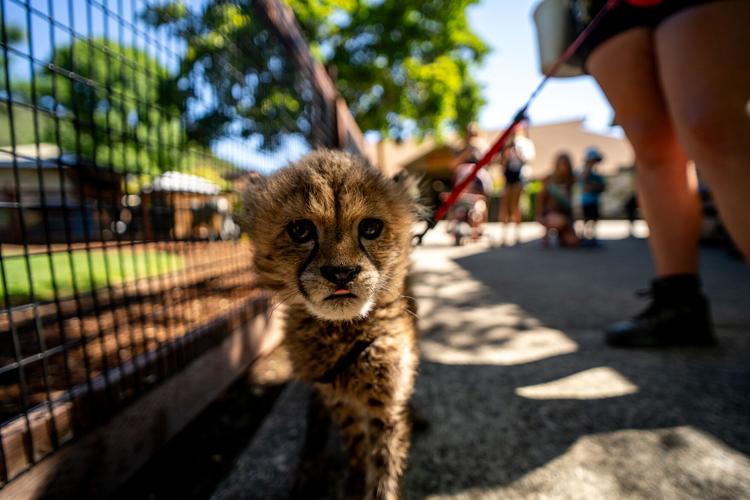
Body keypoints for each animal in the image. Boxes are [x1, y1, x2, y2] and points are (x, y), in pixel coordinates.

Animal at [243, 149, 419, 500]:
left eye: (371, 228)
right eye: (300, 230)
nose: (341, 273)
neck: (341, 329)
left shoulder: (385, 403)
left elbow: (384, 465)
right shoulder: (339, 399)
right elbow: (356, 448)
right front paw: (352, 486)